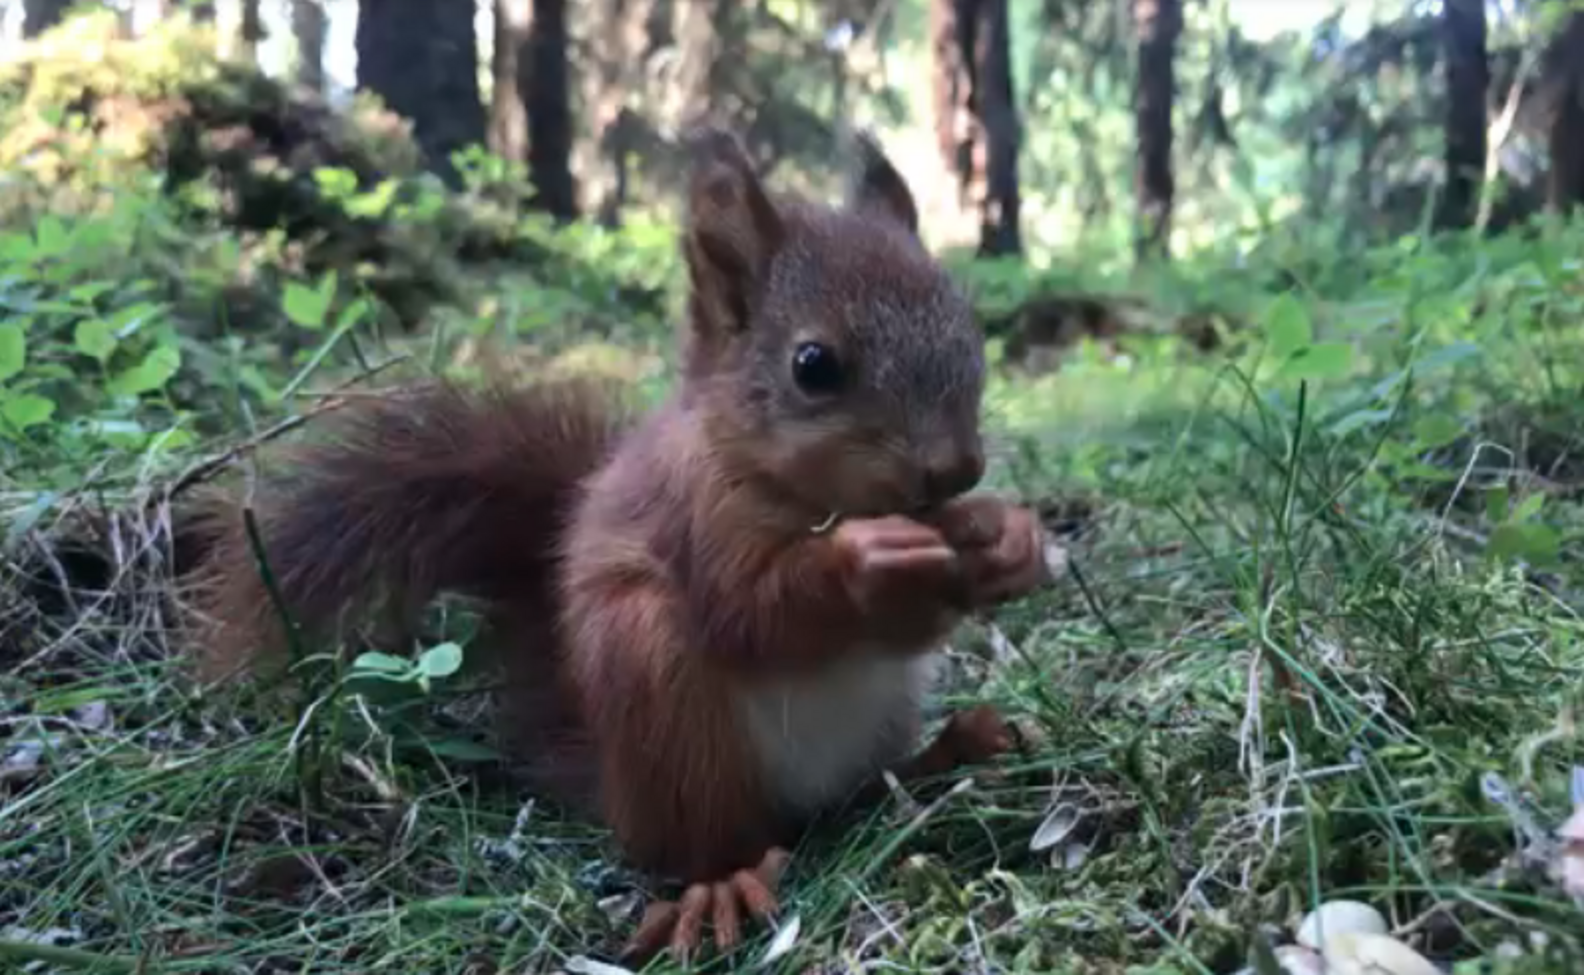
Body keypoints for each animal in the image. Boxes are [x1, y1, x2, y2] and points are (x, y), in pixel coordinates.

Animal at [177, 125, 1053, 964]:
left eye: (968, 325)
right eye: (813, 365)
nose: (957, 467)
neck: (810, 496)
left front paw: (1010, 536)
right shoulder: (697, 519)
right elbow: (753, 610)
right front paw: (866, 559)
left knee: (867, 788)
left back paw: (954, 748)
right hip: (660, 692)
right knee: (710, 835)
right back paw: (720, 883)